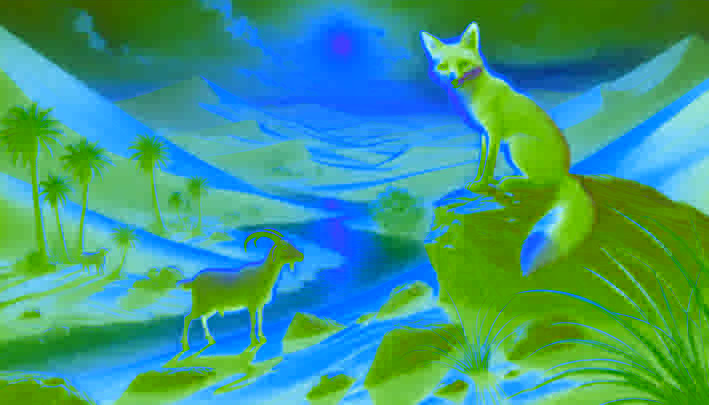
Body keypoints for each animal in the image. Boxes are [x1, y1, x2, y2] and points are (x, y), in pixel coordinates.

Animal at [421, 21, 595, 276]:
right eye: (443, 66)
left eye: (462, 64)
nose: (452, 79)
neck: (470, 98)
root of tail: (566, 171)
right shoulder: (483, 135)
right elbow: (482, 162)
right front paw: (477, 182)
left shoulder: (494, 131)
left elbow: (489, 164)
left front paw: (483, 185)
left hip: (514, 143)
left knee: (542, 184)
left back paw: (510, 183)